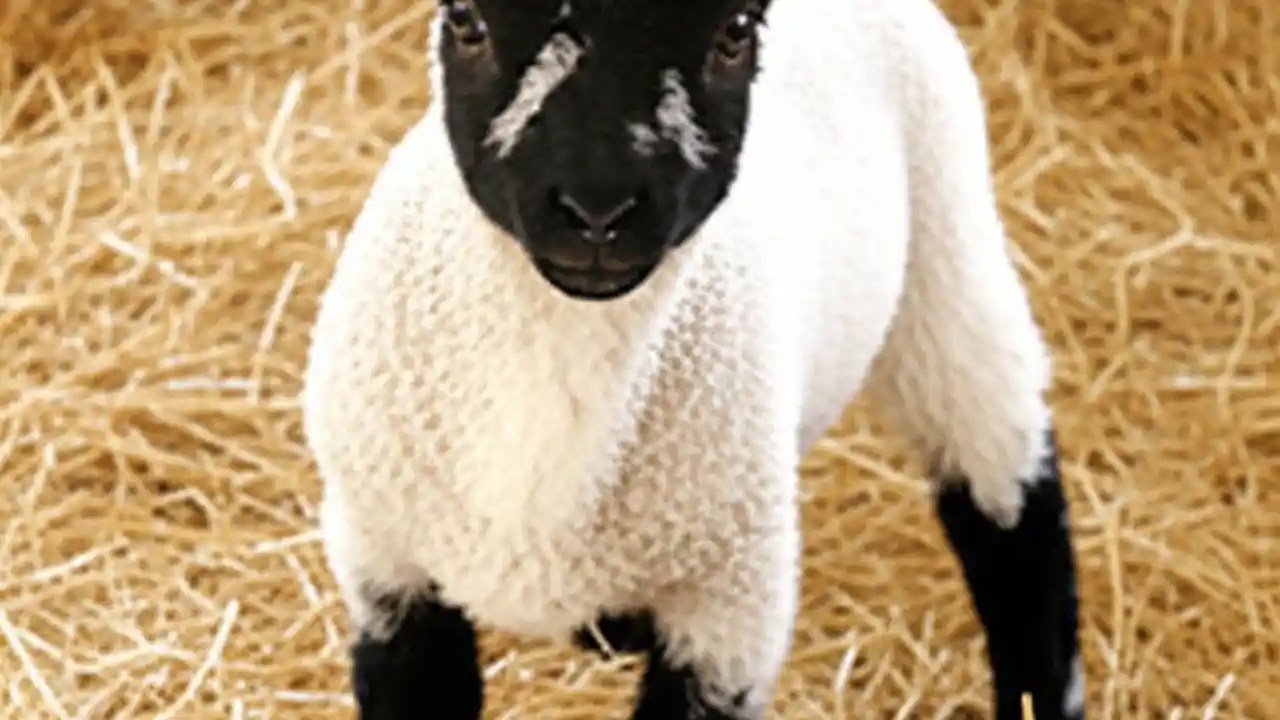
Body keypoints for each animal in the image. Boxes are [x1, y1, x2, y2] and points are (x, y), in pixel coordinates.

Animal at [300, 0, 1088, 718]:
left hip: (949, 237)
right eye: (466, 21)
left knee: (1009, 496)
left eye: (734, 32)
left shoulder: (732, 614)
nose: (597, 211)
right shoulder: (384, 568)